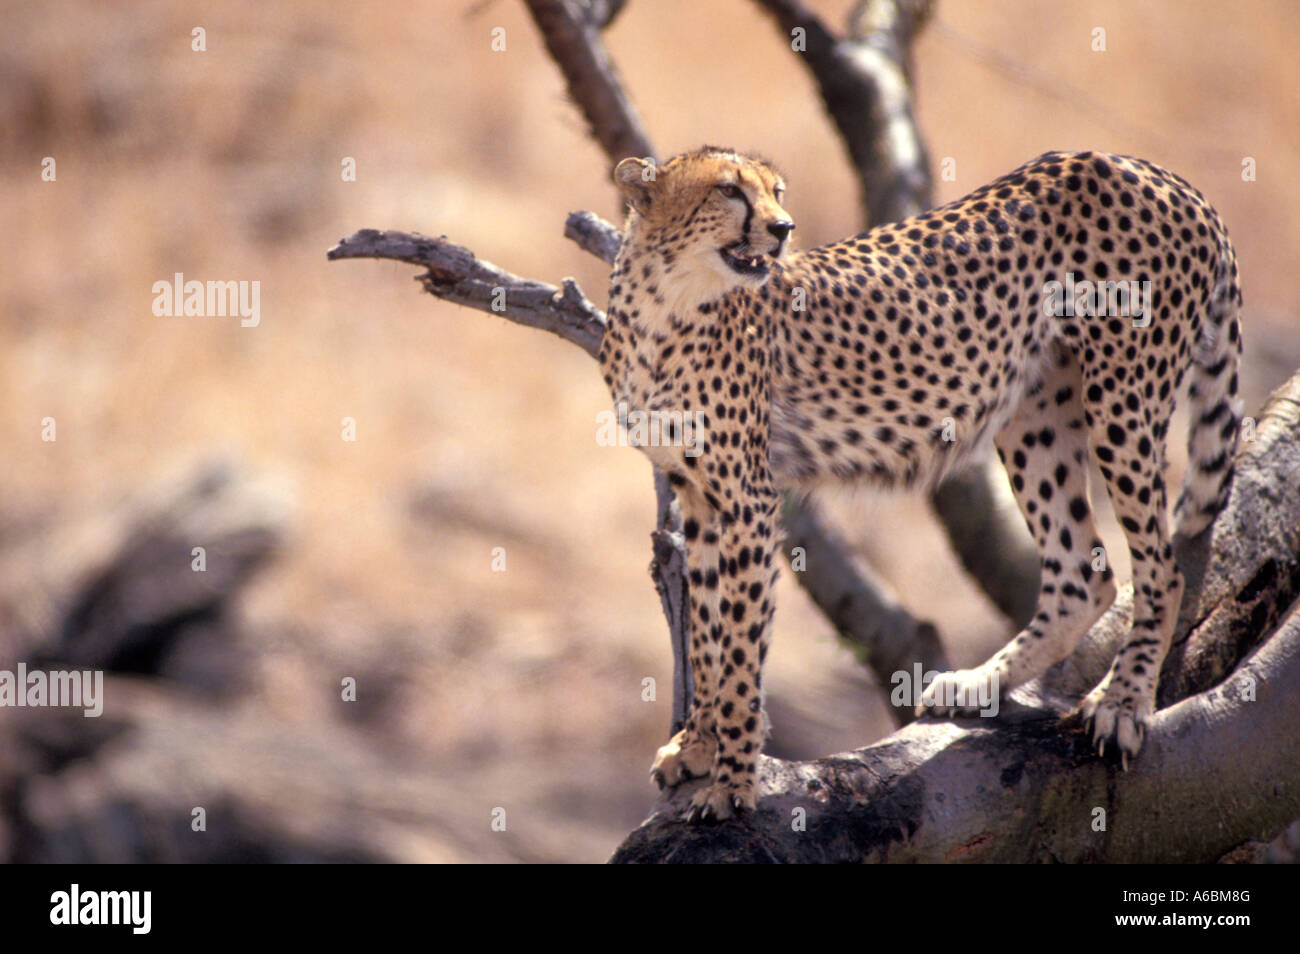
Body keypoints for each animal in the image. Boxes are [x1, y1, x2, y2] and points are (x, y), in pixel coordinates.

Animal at [598, 145, 1242, 822]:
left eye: (776, 191)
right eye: (729, 190)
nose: (782, 228)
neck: (664, 302)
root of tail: (1153, 170)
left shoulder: (749, 502)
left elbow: (741, 649)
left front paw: (733, 784)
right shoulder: (697, 496)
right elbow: (706, 636)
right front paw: (697, 745)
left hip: (1122, 401)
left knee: (1161, 568)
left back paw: (1122, 702)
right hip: (1035, 410)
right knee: (1082, 575)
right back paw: (979, 684)